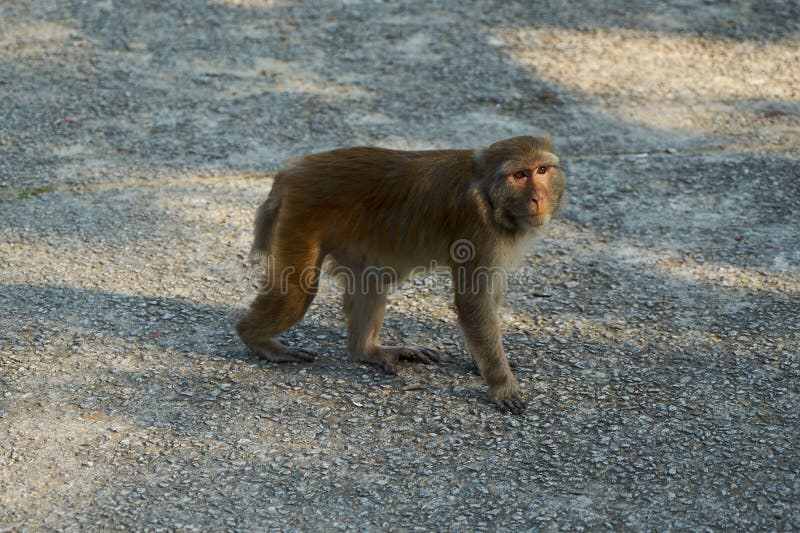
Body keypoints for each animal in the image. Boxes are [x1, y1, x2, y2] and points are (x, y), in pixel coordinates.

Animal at [236, 136, 567, 414]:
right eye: (520, 176)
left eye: (541, 170)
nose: (537, 198)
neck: (488, 192)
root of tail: (293, 169)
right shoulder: (477, 228)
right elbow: (473, 303)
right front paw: (501, 384)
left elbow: (486, 299)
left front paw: (481, 363)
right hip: (302, 214)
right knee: (298, 290)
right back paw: (256, 339)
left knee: (371, 279)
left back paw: (368, 351)